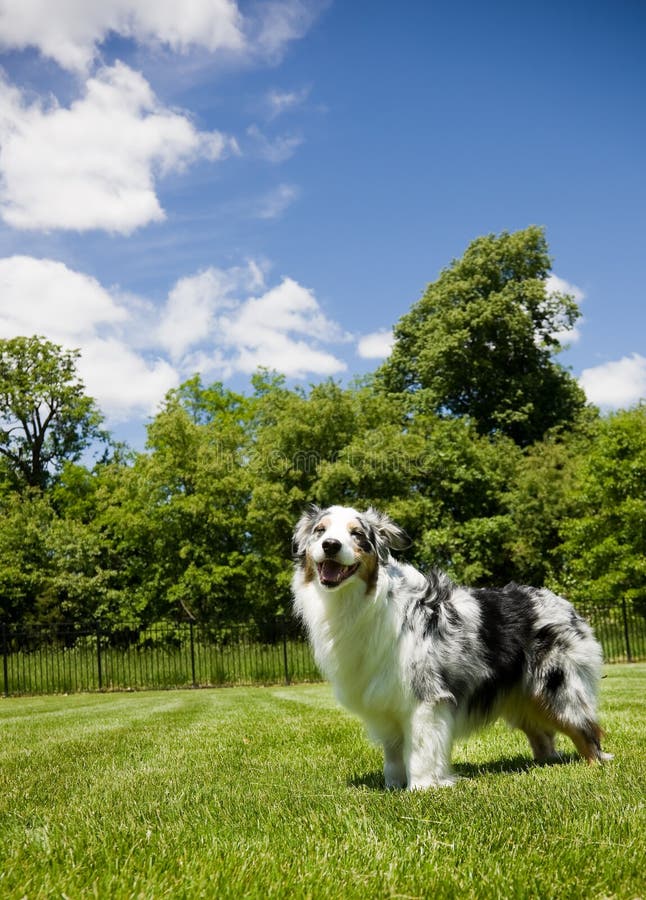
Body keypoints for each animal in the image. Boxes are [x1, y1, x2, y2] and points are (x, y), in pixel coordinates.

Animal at [292, 502, 616, 792]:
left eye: (357, 534)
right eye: (320, 530)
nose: (330, 545)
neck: (366, 600)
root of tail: (565, 604)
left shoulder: (425, 697)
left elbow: (420, 749)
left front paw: (421, 788)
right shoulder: (387, 700)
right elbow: (393, 755)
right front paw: (392, 786)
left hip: (558, 687)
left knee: (586, 729)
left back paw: (593, 766)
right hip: (521, 696)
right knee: (543, 736)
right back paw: (543, 766)